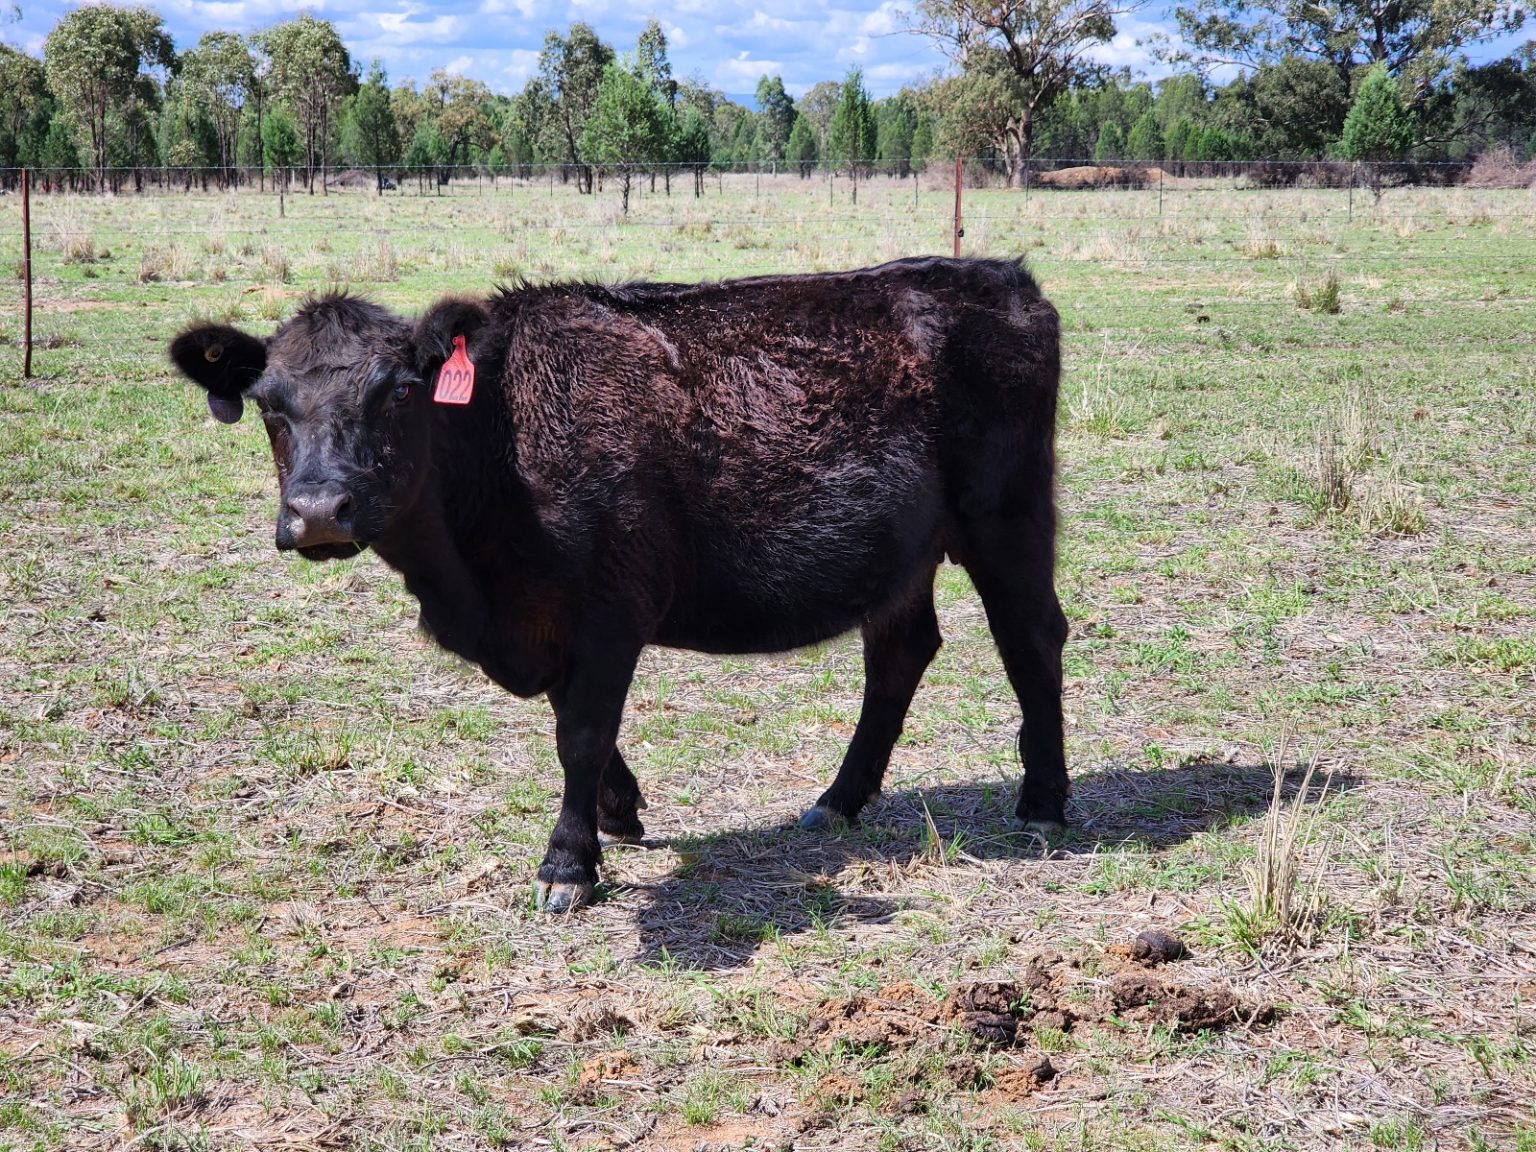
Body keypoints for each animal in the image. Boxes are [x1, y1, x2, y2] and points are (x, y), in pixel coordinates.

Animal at [168, 256, 1069, 912]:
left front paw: (568, 863)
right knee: (899, 653)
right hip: (906, 552)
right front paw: (617, 810)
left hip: (1007, 514)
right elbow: (573, 718)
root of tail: (1001, 277)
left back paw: (1043, 804)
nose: (319, 511)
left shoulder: (611, 610)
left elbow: (581, 731)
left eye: (397, 392)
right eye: (269, 404)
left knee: (1031, 638)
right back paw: (838, 801)